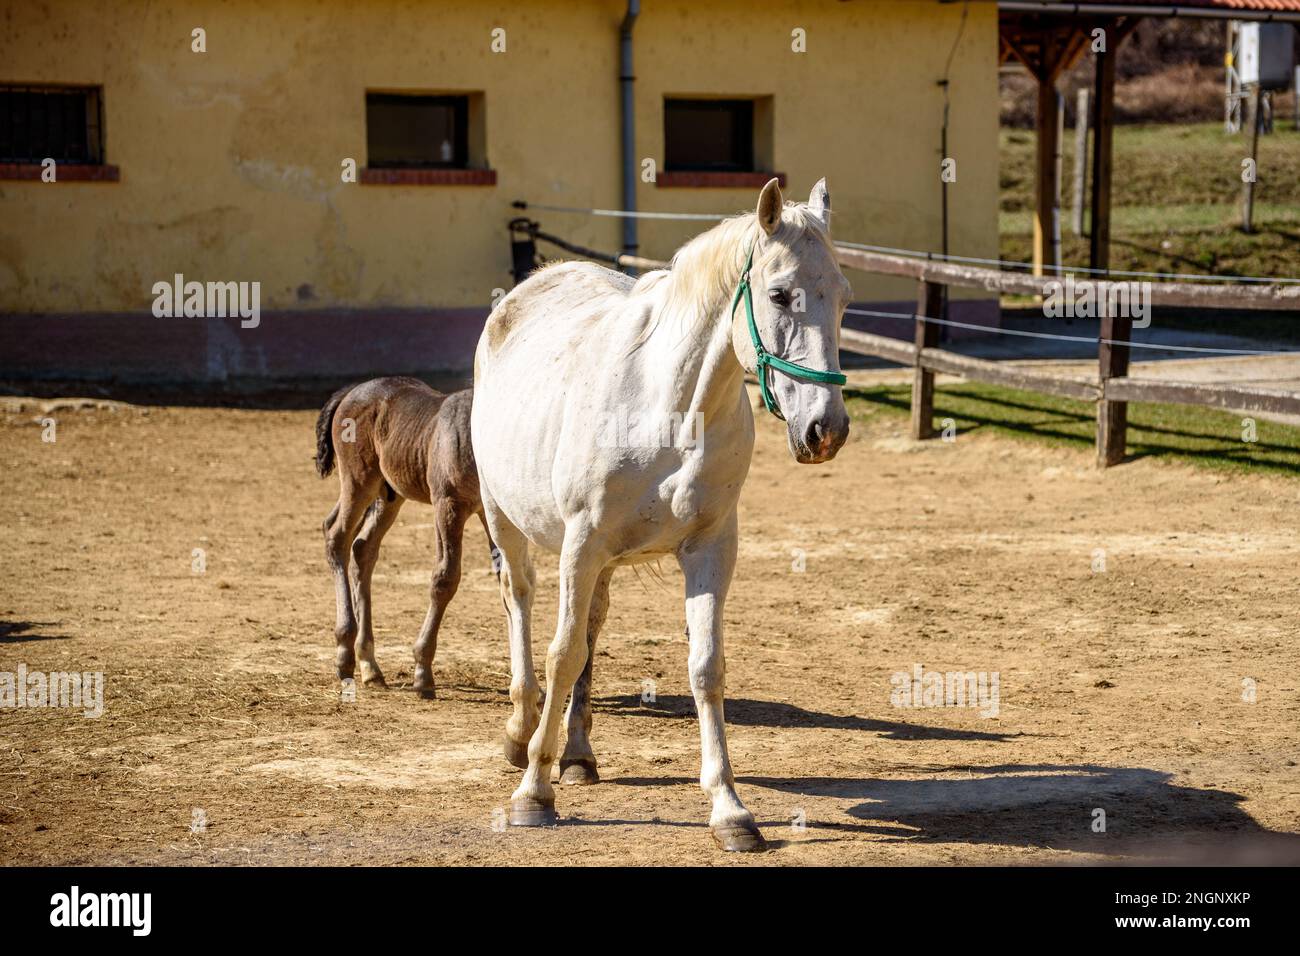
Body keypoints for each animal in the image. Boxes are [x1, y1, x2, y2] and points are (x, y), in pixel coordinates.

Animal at [315, 378, 490, 699]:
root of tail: (350, 392)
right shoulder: (448, 505)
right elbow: (445, 578)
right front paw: (423, 673)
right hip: (358, 481)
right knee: (336, 535)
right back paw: (345, 655)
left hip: (388, 494)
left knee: (363, 549)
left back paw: (370, 665)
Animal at [471, 177, 851, 851]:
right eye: (779, 294)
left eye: (844, 300)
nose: (824, 430)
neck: (668, 408)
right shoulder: (581, 544)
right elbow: (561, 654)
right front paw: (532, 794)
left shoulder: (709, 549)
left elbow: (705, 668)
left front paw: (730, 810)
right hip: (507, 520)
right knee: (521, 602)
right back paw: (522, 735)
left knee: (592, 627)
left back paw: (577, 754)